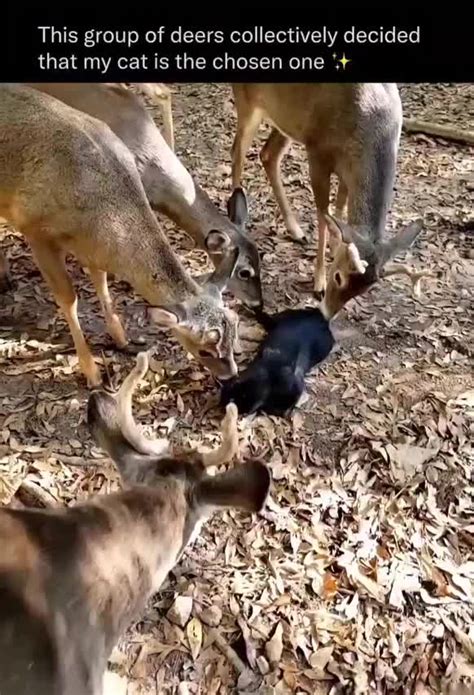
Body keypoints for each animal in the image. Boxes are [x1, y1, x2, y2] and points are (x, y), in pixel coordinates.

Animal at [230, 83, 432, 317]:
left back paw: (296, 231)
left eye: (366, 288)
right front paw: (319, 283)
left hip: (286, 118)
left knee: (268, 154)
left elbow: (340, 205)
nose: (327, 313)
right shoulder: (317, 152)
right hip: (247, 103)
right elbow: (323, 214)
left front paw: (335, 247)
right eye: (338, 277)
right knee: (237, 152)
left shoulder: (347, 169)